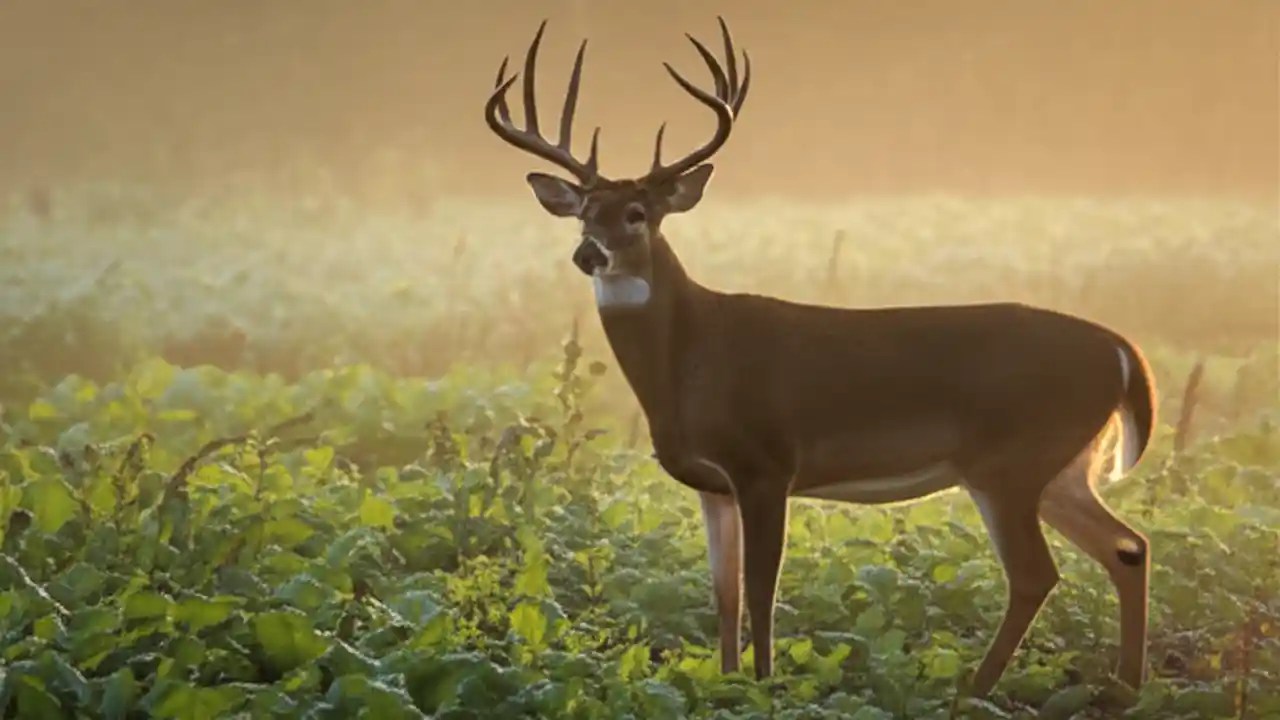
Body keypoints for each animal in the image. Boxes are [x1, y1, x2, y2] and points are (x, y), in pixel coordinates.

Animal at [482, 17, 1158, 698]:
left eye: (637, 213)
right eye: (583, 215)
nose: (588, 254)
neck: (689, 364)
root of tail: (1124, 351)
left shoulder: (766, 463)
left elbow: (761, 590)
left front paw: (763, 685)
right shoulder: (711, 484)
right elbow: (723, 593)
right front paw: (728, 685)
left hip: (1010, 461)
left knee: (1037, 573)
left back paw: (973, 692)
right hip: (1064, 465)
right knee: (1128, 547)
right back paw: (1124, 688)